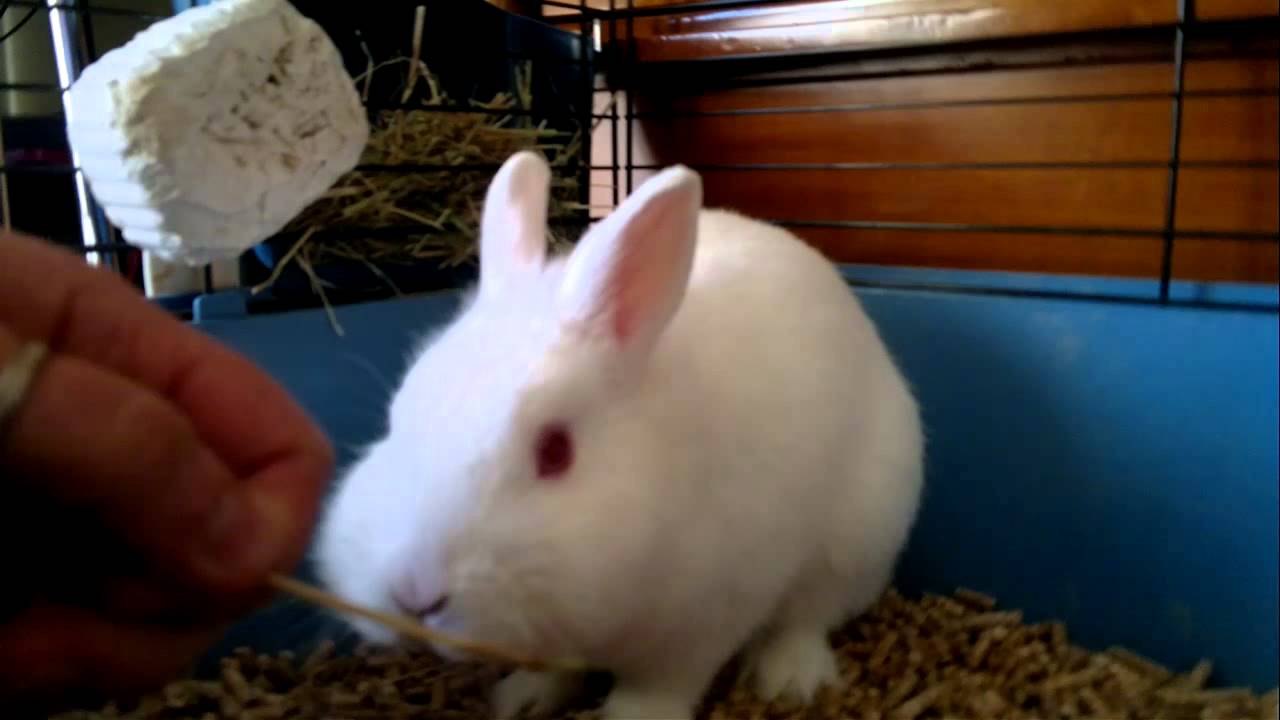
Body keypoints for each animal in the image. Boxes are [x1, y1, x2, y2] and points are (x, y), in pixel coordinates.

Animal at [313, 150, 925, 720]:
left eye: (556, 451)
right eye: (395, 418)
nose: (413, 594)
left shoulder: (705, 620)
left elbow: (661, 686)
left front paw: (630, 715)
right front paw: (522, 699)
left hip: (859, 535)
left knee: (810, 617)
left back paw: (791, 680)